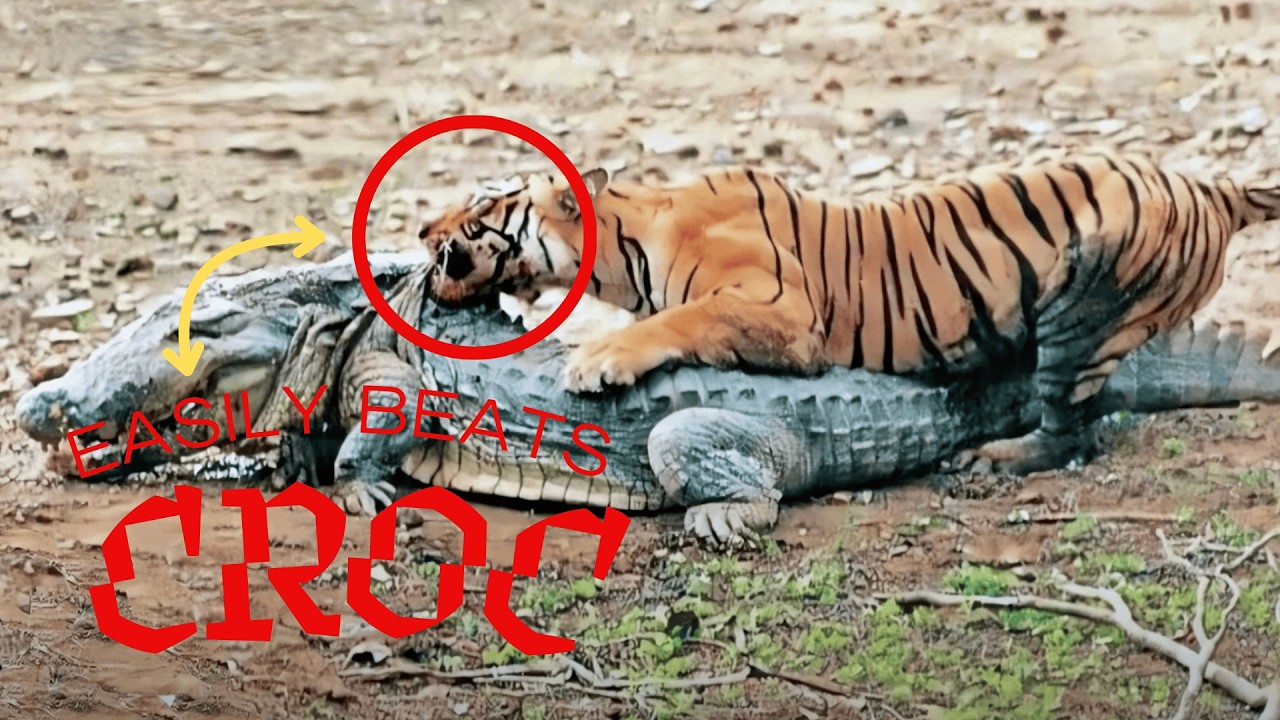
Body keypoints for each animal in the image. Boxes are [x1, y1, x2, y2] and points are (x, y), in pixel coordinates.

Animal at [416, 151, 1280, 474]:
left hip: (1086, 305)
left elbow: (678, 321)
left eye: (484, 208)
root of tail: (1212, 186)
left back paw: (993, 459)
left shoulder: (784, 310)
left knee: (1073, 430)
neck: (626, 248)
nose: (423, 232)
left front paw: (596, 360)